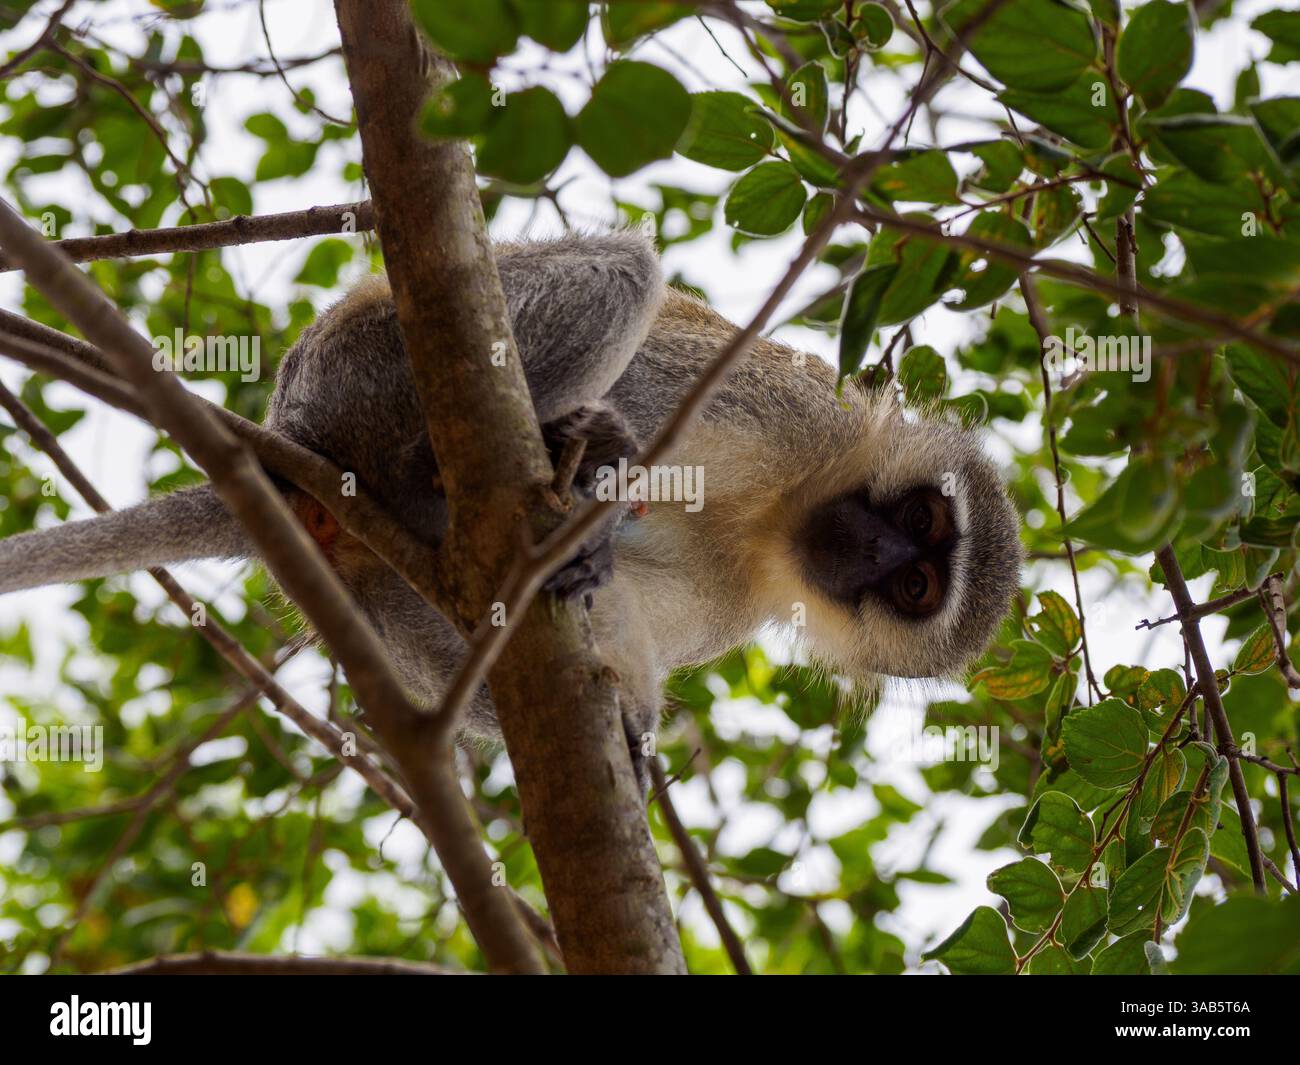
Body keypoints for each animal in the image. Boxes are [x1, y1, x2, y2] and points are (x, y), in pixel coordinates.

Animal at [0, 231, 1023, 789]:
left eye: (917, 582)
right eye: (924, 525)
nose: (881, 552)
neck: (775, 520)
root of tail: (293, 433)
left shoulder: (741, 599)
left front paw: (629, 724)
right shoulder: (792, 413)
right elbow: (653, 381)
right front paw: (600, 453)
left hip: (377, 578)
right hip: (366, 361)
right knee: (618, 273)